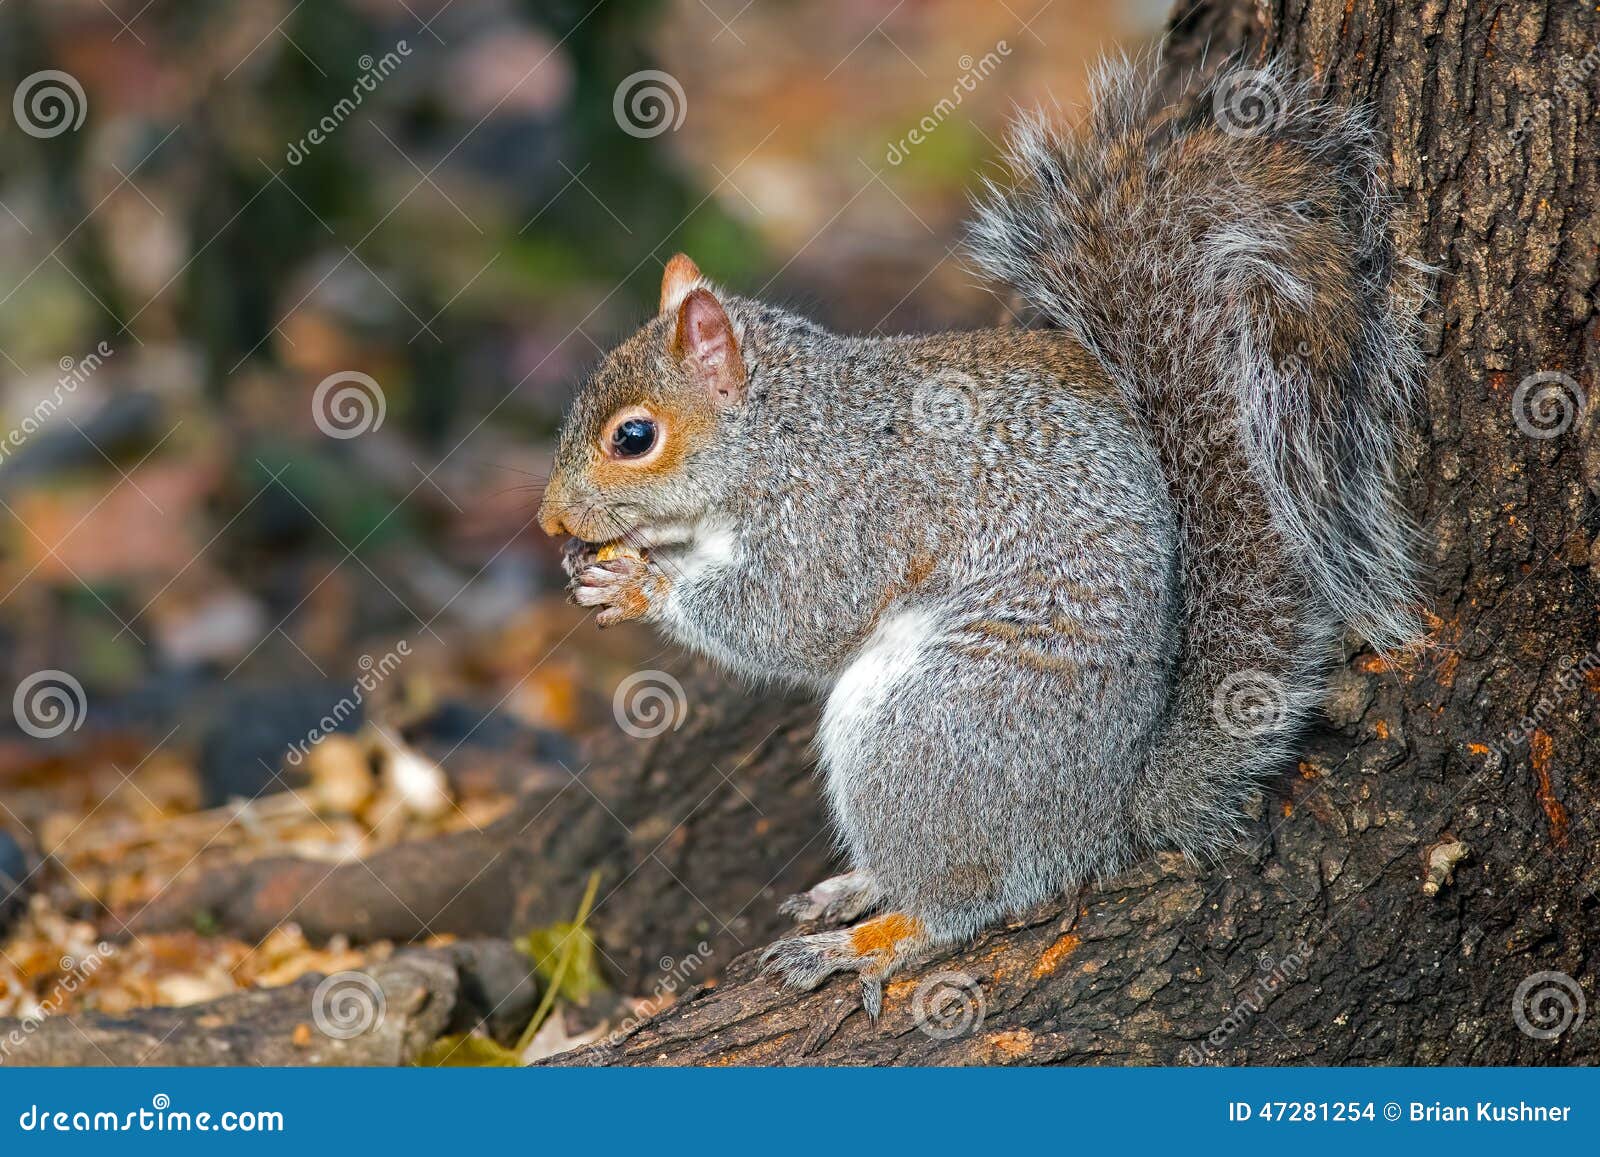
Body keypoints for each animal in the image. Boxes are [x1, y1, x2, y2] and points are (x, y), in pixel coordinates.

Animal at [536, 59, 1423, 1016]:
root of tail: (1103, 814)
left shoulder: (846, 512)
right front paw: (597, 565)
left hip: (933, 728)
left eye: (634, 437)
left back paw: (871, 939)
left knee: (965, 896)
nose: (548, 518)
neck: (786, 431)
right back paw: (856, 886)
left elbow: (797, 618)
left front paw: (642, 585)